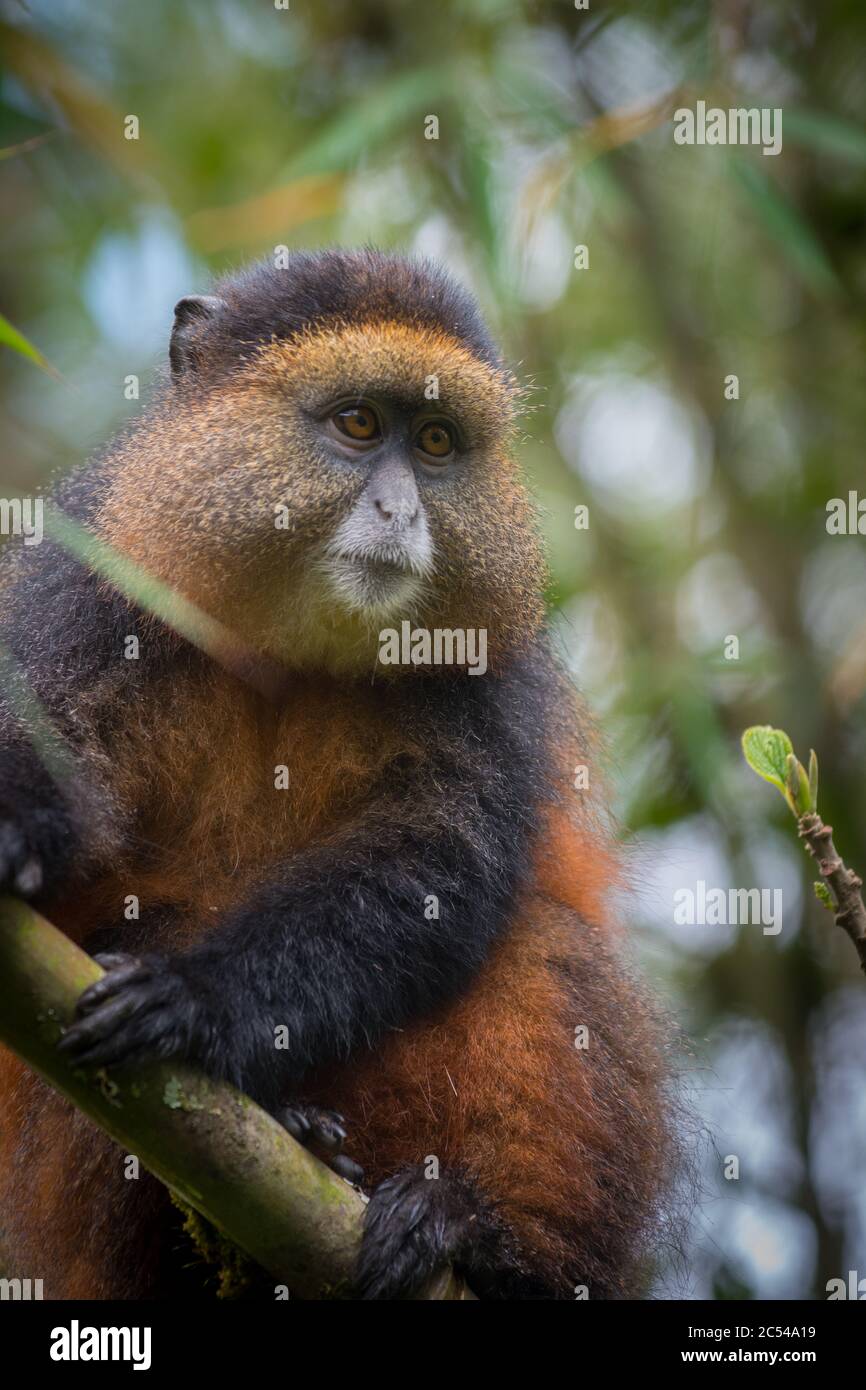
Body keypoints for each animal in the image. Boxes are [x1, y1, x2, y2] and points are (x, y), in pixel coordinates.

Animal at [0, 249, 672, 1300]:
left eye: (435, 443)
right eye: (359, 425)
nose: (401, 509)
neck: (285, 644)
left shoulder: (487, 674)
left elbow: (437, 865)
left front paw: (198, 1004)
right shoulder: (92, 576)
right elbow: (49, 756)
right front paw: (14, 829)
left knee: (547, 947)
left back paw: (473, 1233)